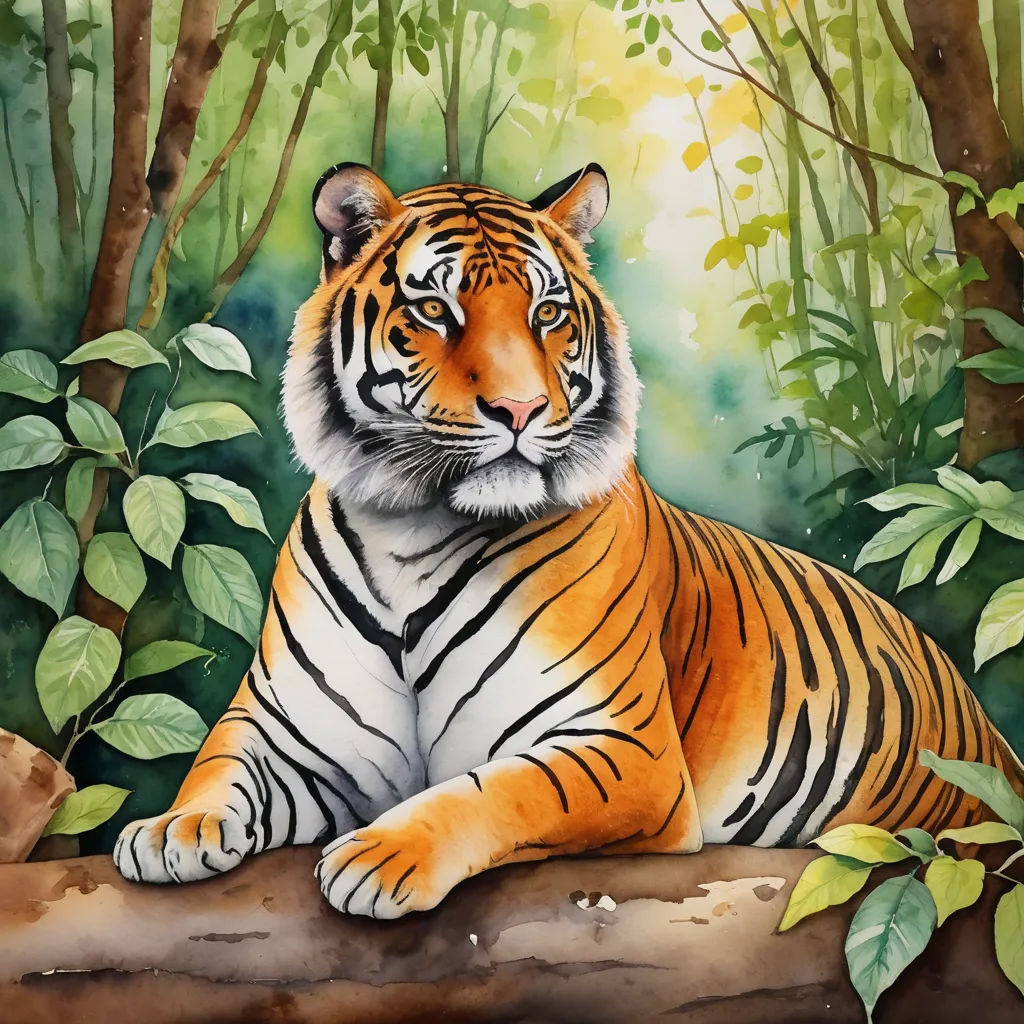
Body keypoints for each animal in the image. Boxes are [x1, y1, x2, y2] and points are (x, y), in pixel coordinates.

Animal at [114, 161, 1024, 919]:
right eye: (434, 310)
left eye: (547, 313)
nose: (519, 411)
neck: (413, 527)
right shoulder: (287, 729)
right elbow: (221, 762)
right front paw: (172, 829)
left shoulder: (624, 750)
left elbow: (494, 792)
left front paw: (382, 856)